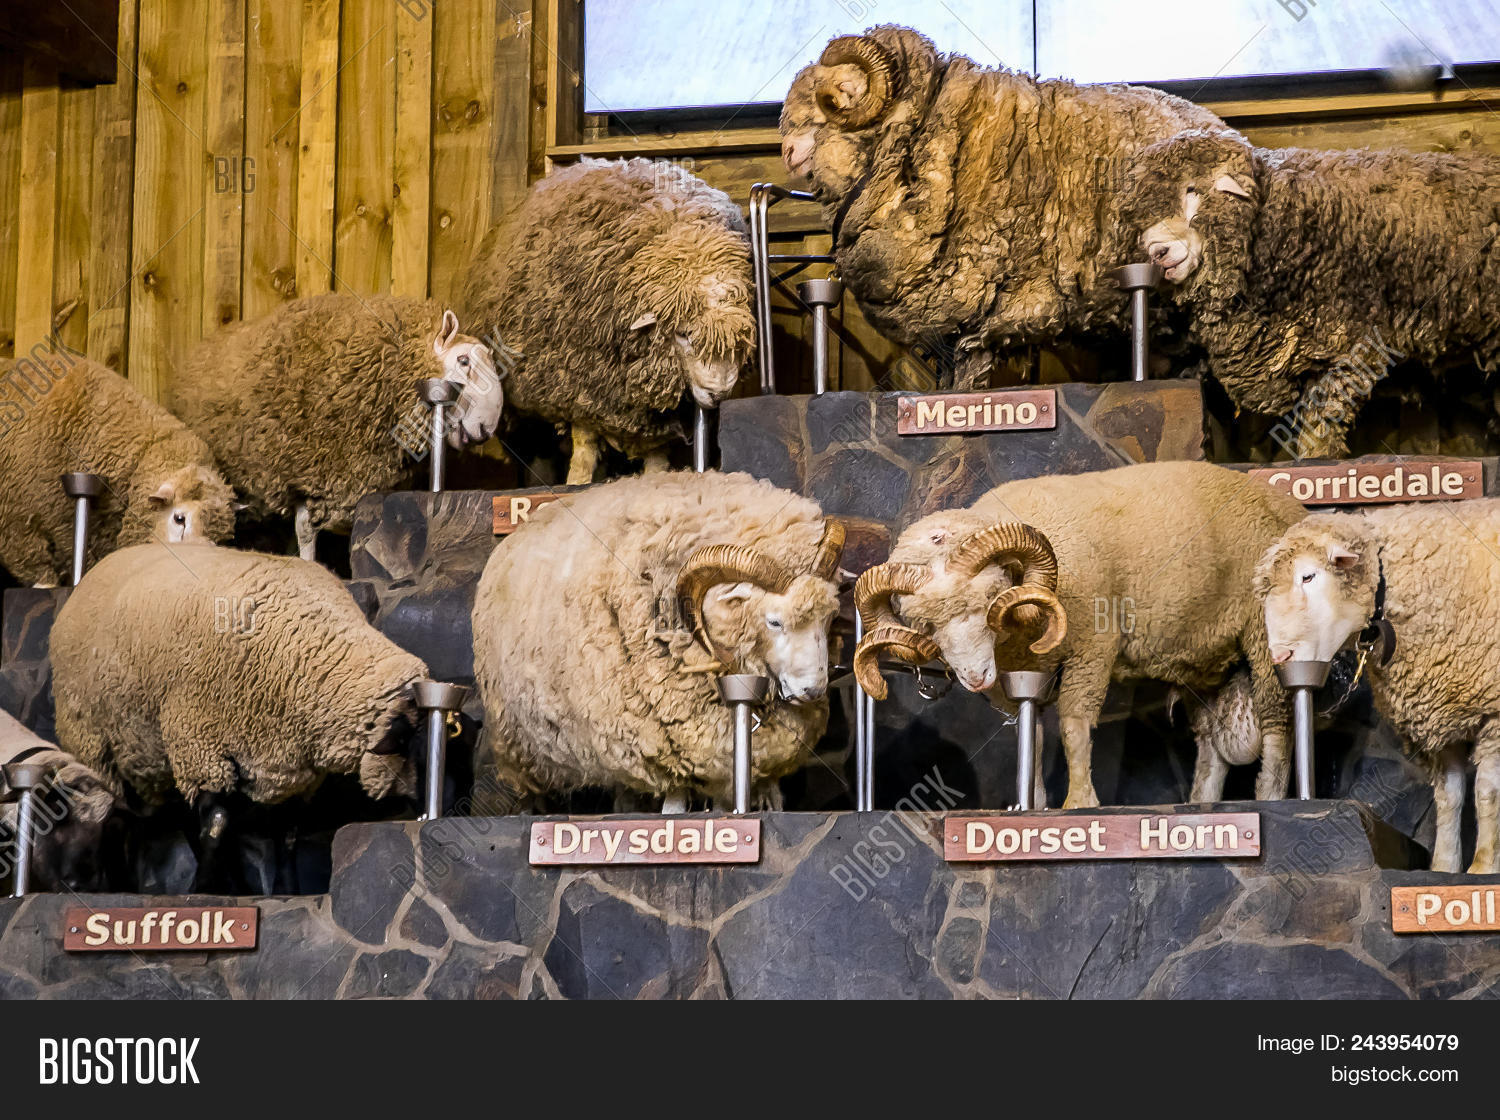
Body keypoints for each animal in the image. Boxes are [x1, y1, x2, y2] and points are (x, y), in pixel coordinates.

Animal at [459, 157, 755, 484]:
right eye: (684, 334)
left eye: (740, 339)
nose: (719, 393)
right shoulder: (581, 382)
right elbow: (585, 447)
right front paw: (577, 483)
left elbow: (656, 454)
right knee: (538, 448)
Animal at [853, 460, 1305, 807]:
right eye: (925, 624)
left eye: (990, 598)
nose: (976, 677)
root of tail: (1291, 507)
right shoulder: (1020, 679)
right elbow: (1032, 738)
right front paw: (1032, 804)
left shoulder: (1093, 648)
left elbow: (1073, 726)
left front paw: (1080, 802)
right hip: (1206, 661)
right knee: (1211, 744)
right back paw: (1201, 802)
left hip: (1265, 636)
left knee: (1277, 725)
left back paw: (1272, 799)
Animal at [1258, 503, 1500, 873]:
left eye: (1308, 576)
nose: (1280, 655)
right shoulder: (1441, 710)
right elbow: (1449, 795)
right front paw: (1443, 866)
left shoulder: (1493, 713)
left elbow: (1486, 792)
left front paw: (1483, 866)